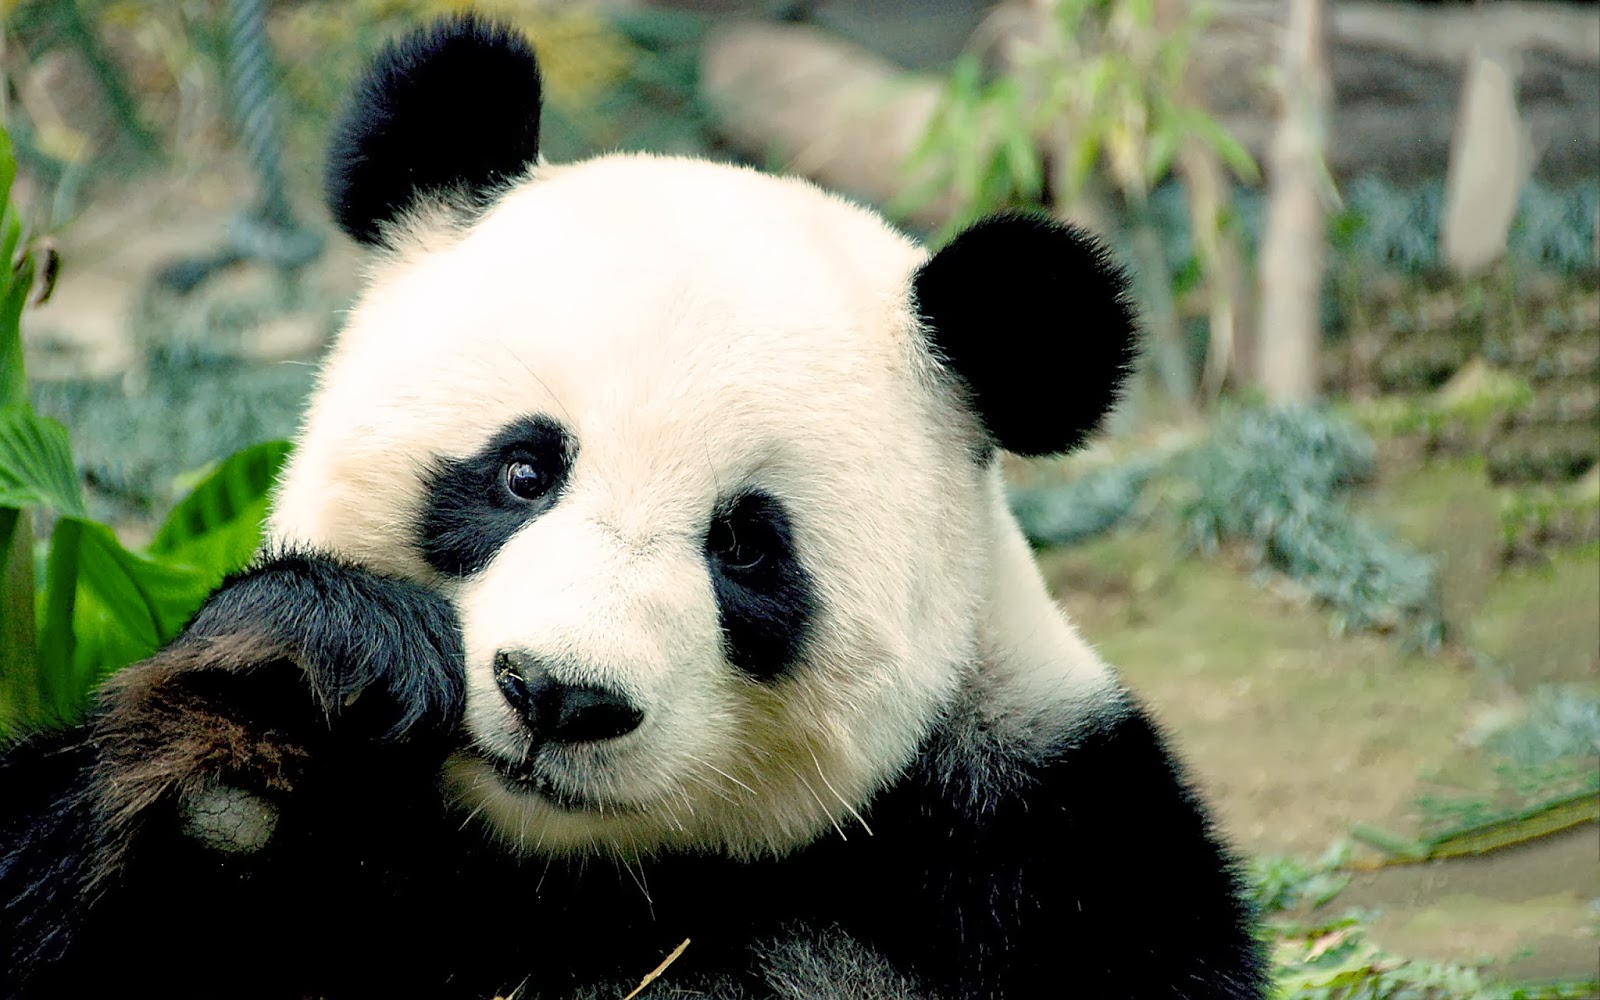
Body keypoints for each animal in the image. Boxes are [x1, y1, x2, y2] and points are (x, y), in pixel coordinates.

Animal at [0, 14, 1266, 1000]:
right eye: (523, 471)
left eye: (746, 547)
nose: (559, 696)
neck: (561, 872)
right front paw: (283, 705)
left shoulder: (1046, 845)